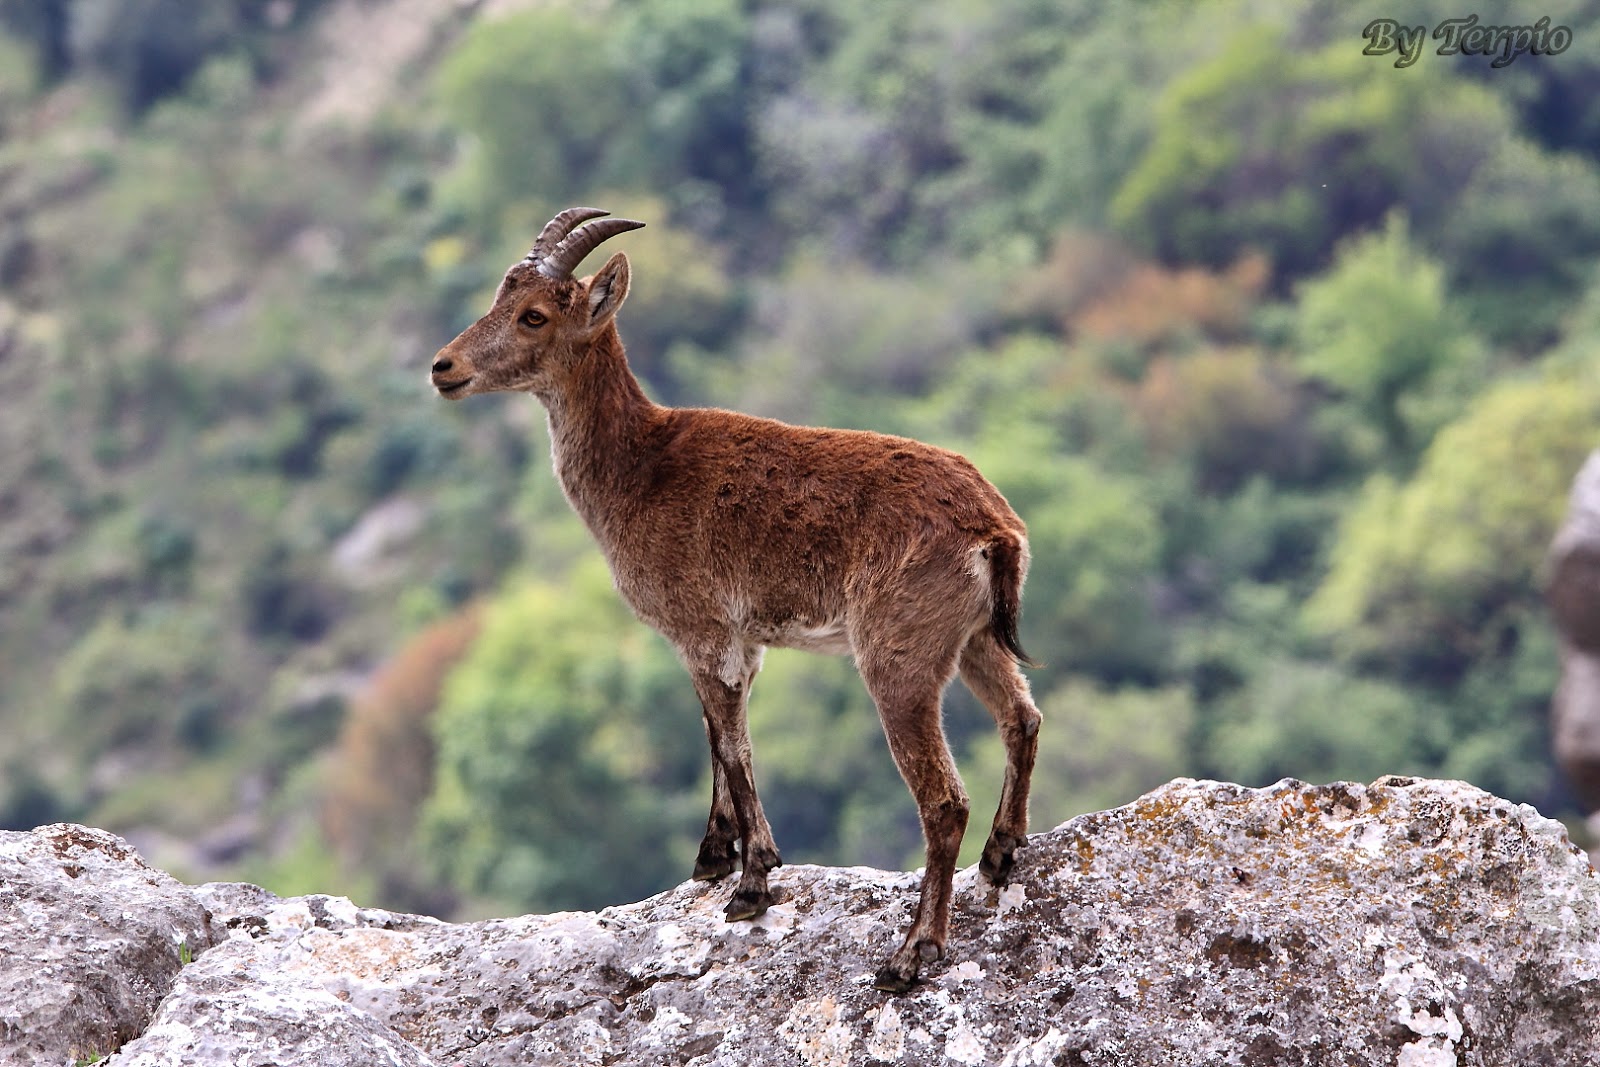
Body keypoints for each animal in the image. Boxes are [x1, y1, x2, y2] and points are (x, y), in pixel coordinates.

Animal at [429, 207, 1042, 992]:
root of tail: (994, 530)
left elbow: (733, 742)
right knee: (1022, 718)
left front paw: (751, 886)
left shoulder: (705, 629)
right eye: (499, 297)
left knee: (942, 798)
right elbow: (718, 734)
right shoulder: (735, 641)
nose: (444, 368)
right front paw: (713, 859)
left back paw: (912, 954)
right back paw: (1000, 856)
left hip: (898, 656)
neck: (639, 466)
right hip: (973, 639)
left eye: (534, 314)